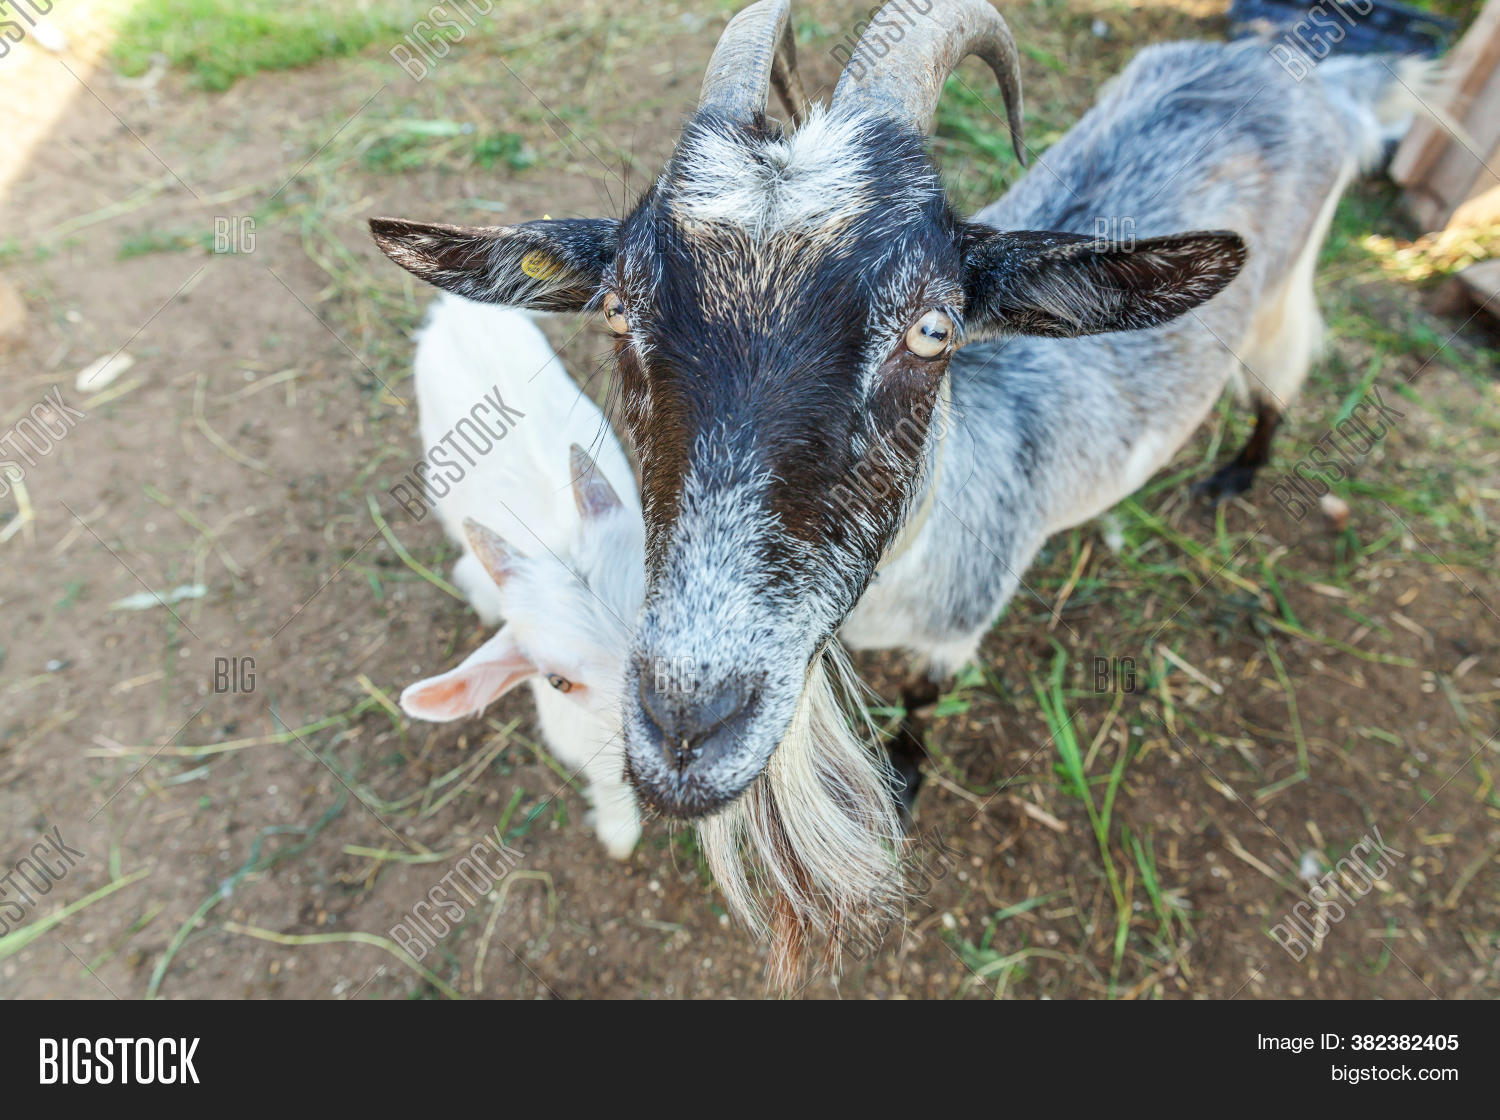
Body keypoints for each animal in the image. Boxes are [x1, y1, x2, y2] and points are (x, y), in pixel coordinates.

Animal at [371, 0, 1424, 970]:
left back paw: (1239, 474)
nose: (686, 733)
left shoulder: (960, 621)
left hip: (1283, 296)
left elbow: (923, 705)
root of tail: (1299, 74)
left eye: (934, 327)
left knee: (1281, 380)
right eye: (619, 309)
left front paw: (905, 777)